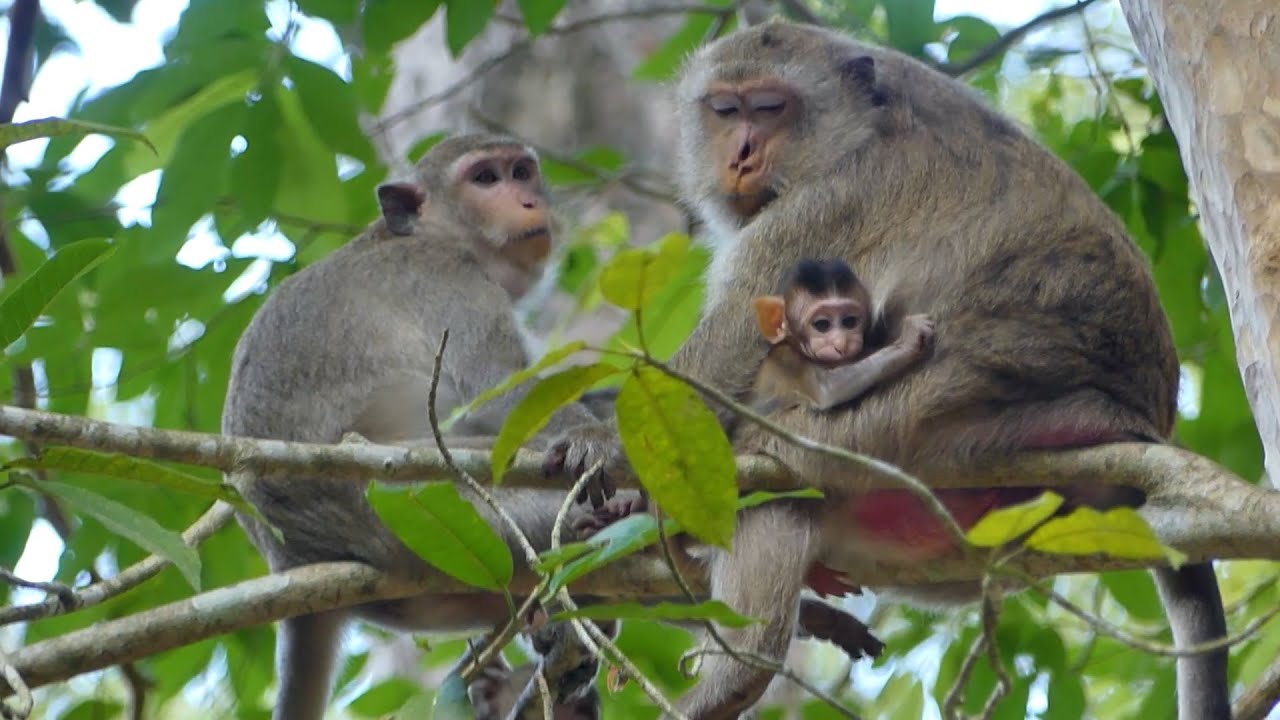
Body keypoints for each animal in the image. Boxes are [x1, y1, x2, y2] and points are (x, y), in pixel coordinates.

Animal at [222, 134, 617, 720]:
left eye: (522, 172)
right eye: (485, 179)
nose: (529, 202)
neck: (429, 234)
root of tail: (293, 555)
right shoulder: (449, 280)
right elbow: (504, 391)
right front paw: (599, 443)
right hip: (407, 508)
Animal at [543, 21, 1229, 720]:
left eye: (771, 107)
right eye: (726, 110)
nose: (740, 155)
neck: (858, 130)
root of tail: (1135, 417)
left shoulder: (819, 208)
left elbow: (729, 343)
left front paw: (603, 443)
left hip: (928, 424)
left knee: (771, 479)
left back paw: (733, 676)